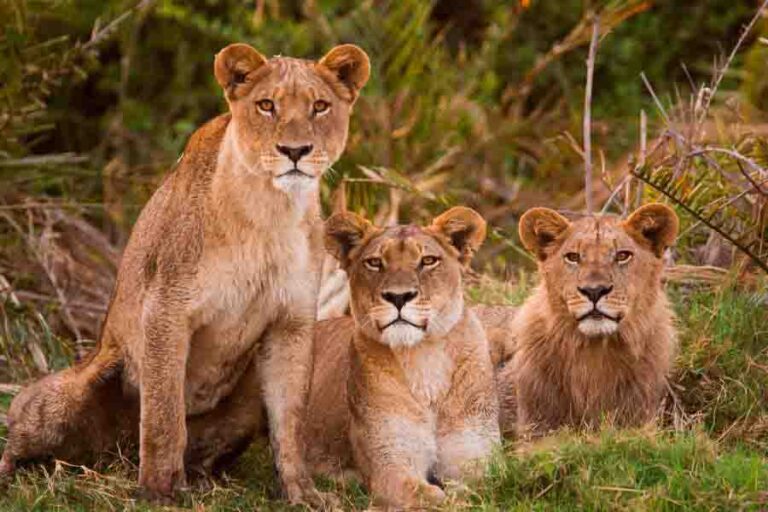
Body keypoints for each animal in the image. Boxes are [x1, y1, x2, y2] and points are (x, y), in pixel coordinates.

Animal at [0, 43, 370, 505]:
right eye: (266, 105)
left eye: (320, 106)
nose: (295, 151)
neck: (270, 208)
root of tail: (115, 457)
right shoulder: (167, 307)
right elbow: (164, 412)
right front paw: (159, 492)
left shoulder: (292, 322)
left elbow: (290, 422)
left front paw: (302, 493)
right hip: (68, 391)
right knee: (22, 433)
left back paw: (201, 480)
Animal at [304, 207, 500, 509]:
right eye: (374, 263)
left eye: (428, 261)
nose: (399, 297)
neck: (423, 357)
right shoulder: (391, 463)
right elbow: (434, 497)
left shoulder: (476, 455)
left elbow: (477, 487)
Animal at [496, 204, 679, 436]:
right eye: (573, 257)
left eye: (622, 255)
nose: (594, 291)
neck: (595, 352)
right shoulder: (536, 428)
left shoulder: (639, 423)